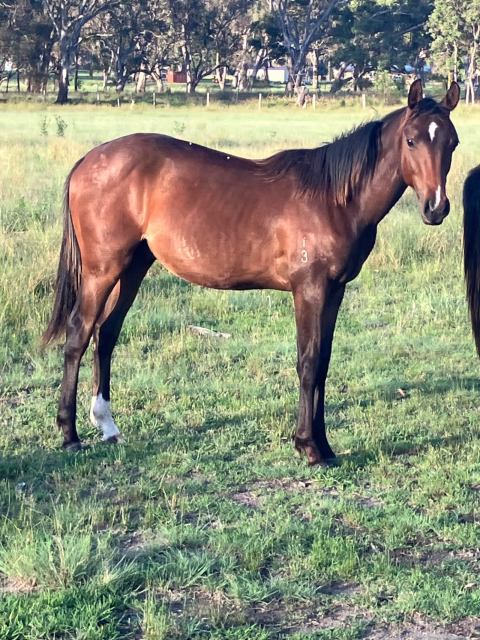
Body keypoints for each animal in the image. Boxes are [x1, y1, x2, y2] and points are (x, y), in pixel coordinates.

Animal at [43, 79, 460, 465]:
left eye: (452, 143)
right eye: (411, 140)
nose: (436, 208)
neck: (334, 199)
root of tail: (89, 160)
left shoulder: (335, 291)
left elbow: (324, 363)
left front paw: (324, 446)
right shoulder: (310, 290)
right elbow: (308, 362)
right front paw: (308, 446)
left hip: (133, 266)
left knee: (107, 334)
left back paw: (107, 426)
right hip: (102, 270)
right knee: (79, 334)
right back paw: (69, 433)